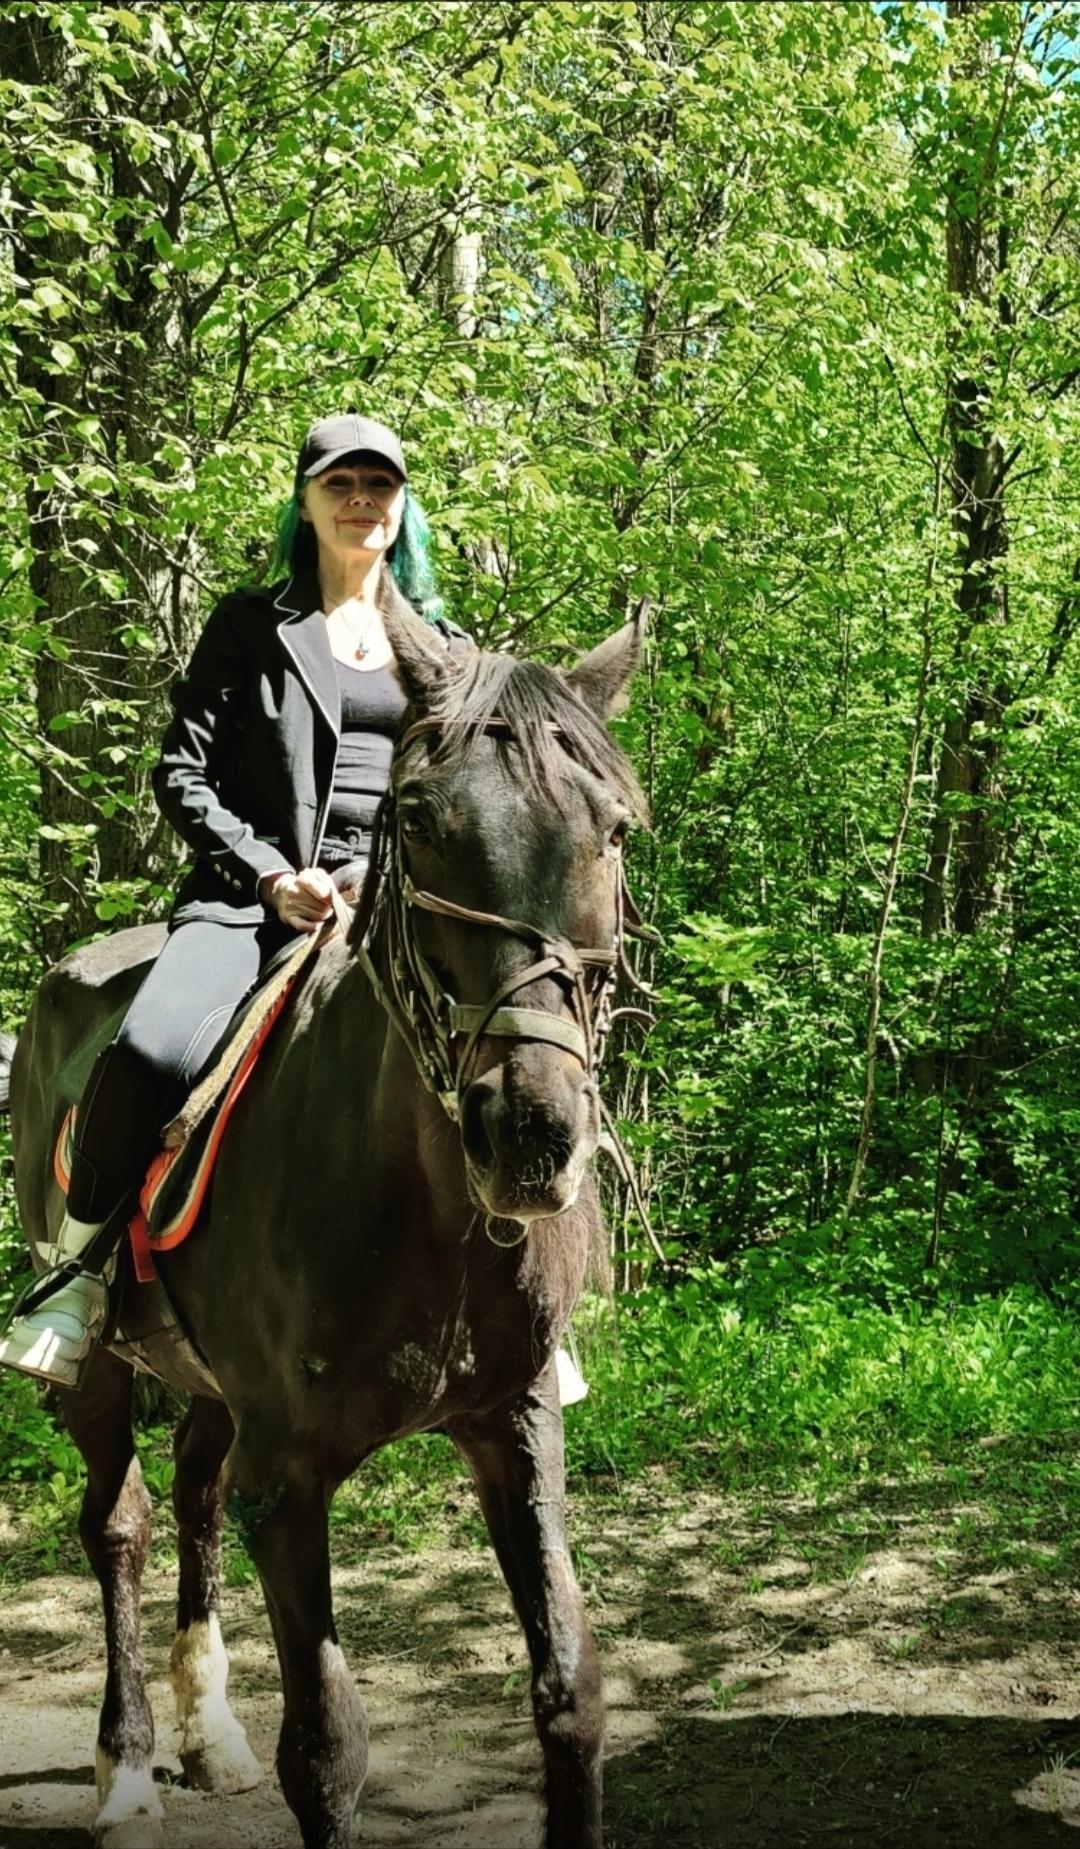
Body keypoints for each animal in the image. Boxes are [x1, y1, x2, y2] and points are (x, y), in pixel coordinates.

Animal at [7, 595, 648, 1849]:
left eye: (613, 828)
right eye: (421, 818)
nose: (529, 1130)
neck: (425, 1211)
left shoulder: (517, 1428)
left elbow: (571, 1692)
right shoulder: (291, 1478)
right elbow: (328, 1750)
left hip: (207, 1382)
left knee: (195, 1492)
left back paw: (210, 1735)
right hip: (99, 1369)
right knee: (122, 1523)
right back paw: (128, 1769)